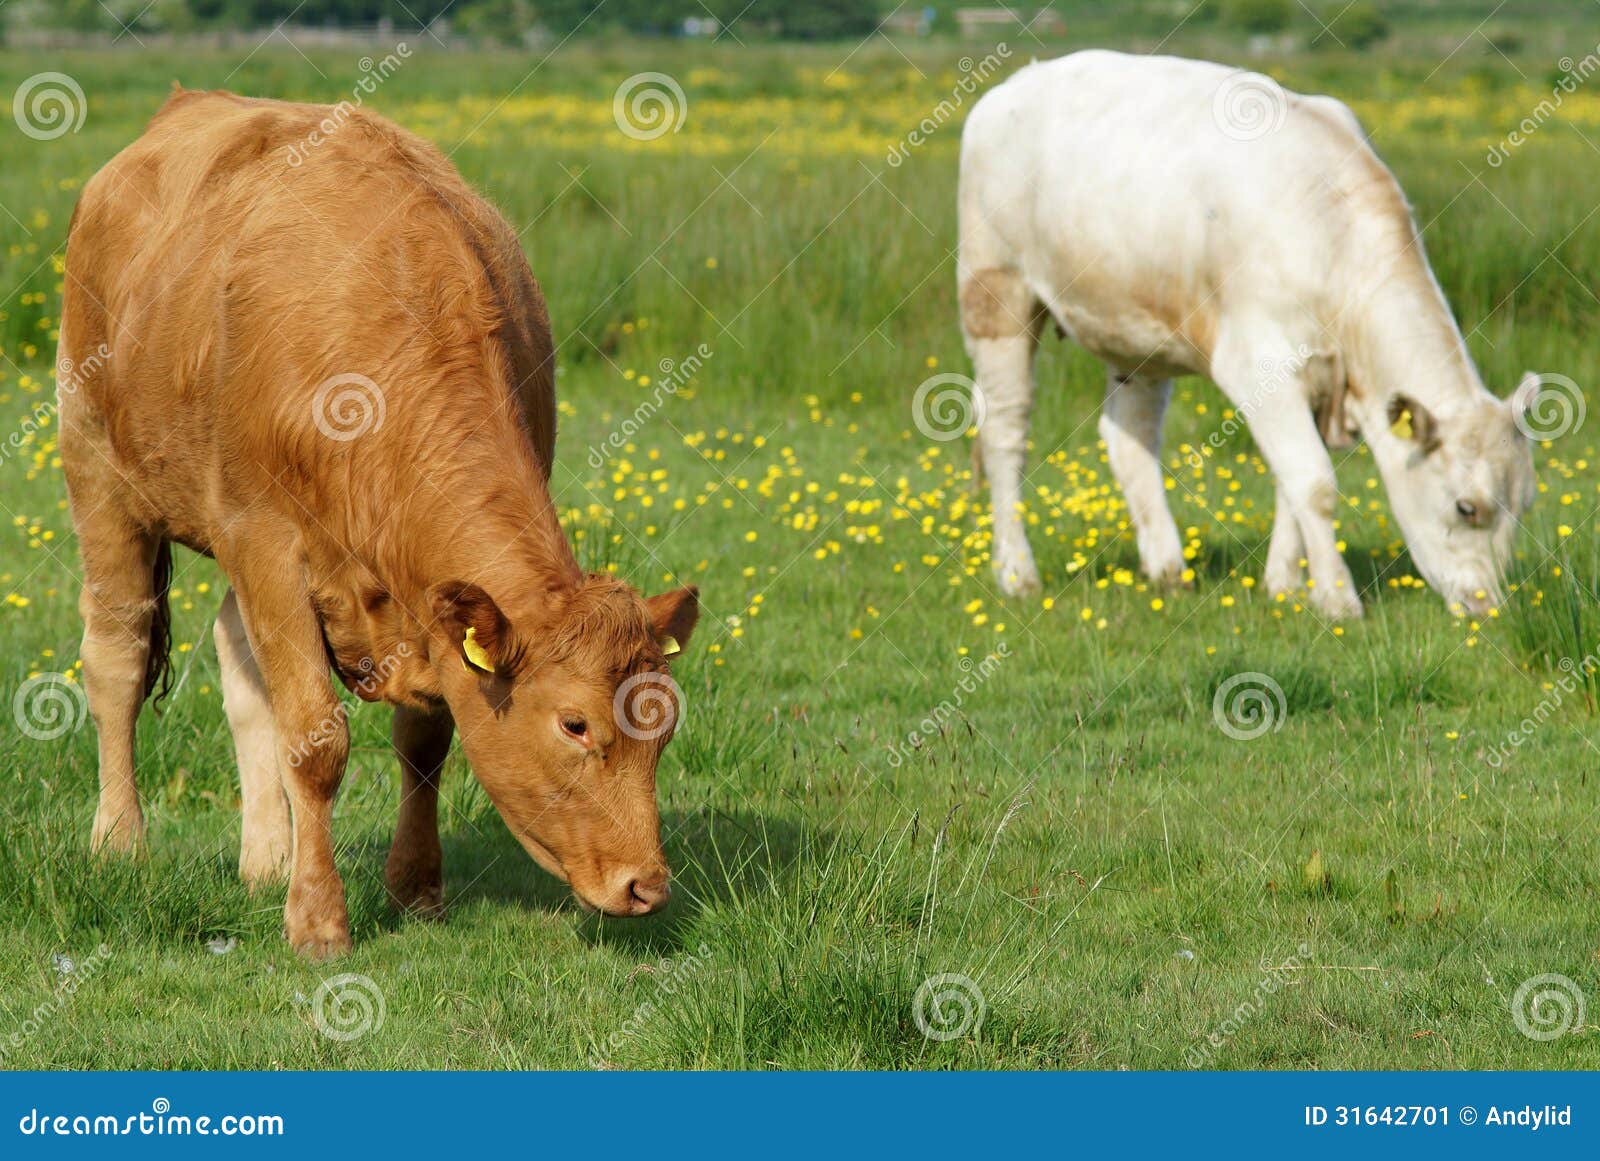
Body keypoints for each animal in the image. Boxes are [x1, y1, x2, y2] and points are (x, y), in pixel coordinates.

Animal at [59, 89, 699, 959]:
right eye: (575, 724)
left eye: (662, 725)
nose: (646, 885)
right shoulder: (265, 539)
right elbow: (316, 739)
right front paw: (318, 920)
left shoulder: (426, 601)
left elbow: (422, 741)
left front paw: (415, 887)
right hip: (97, 467)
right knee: (118, 656)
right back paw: (120, 841)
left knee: (237, 658)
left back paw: (267, 856)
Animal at [958, 50, 1539, 617]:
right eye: (1467, 507)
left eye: (1526, 503)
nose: (1490, 608)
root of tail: (1016, 84)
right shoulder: (1258, 364)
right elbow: (1315, 483)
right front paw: (1337, 599)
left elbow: (1290, 483)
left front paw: (1285, 585)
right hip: (995, 296)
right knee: (1005, 433)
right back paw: (1017, 574)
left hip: (1135, 328)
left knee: (1130, 436)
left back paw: (1167, 568)